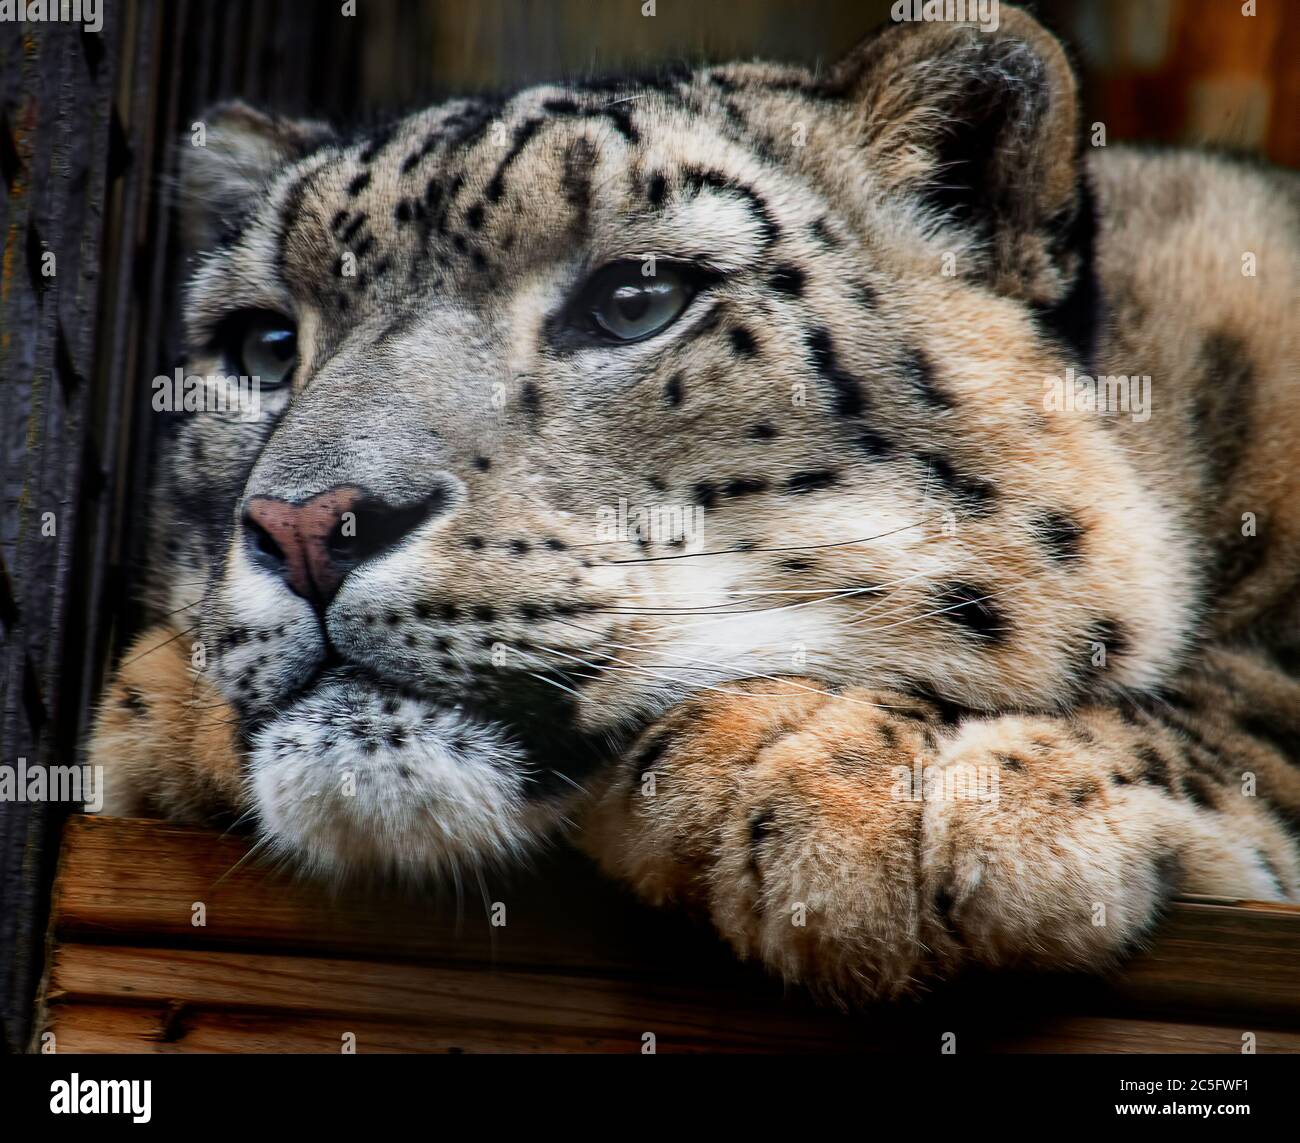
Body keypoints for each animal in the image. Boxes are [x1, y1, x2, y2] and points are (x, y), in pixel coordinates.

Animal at [88, 6, 1300, 1005]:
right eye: (263, 343)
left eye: (637, 300)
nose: (306, 525)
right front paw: (162, 710)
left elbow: (1254, 698)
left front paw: (850, 775)